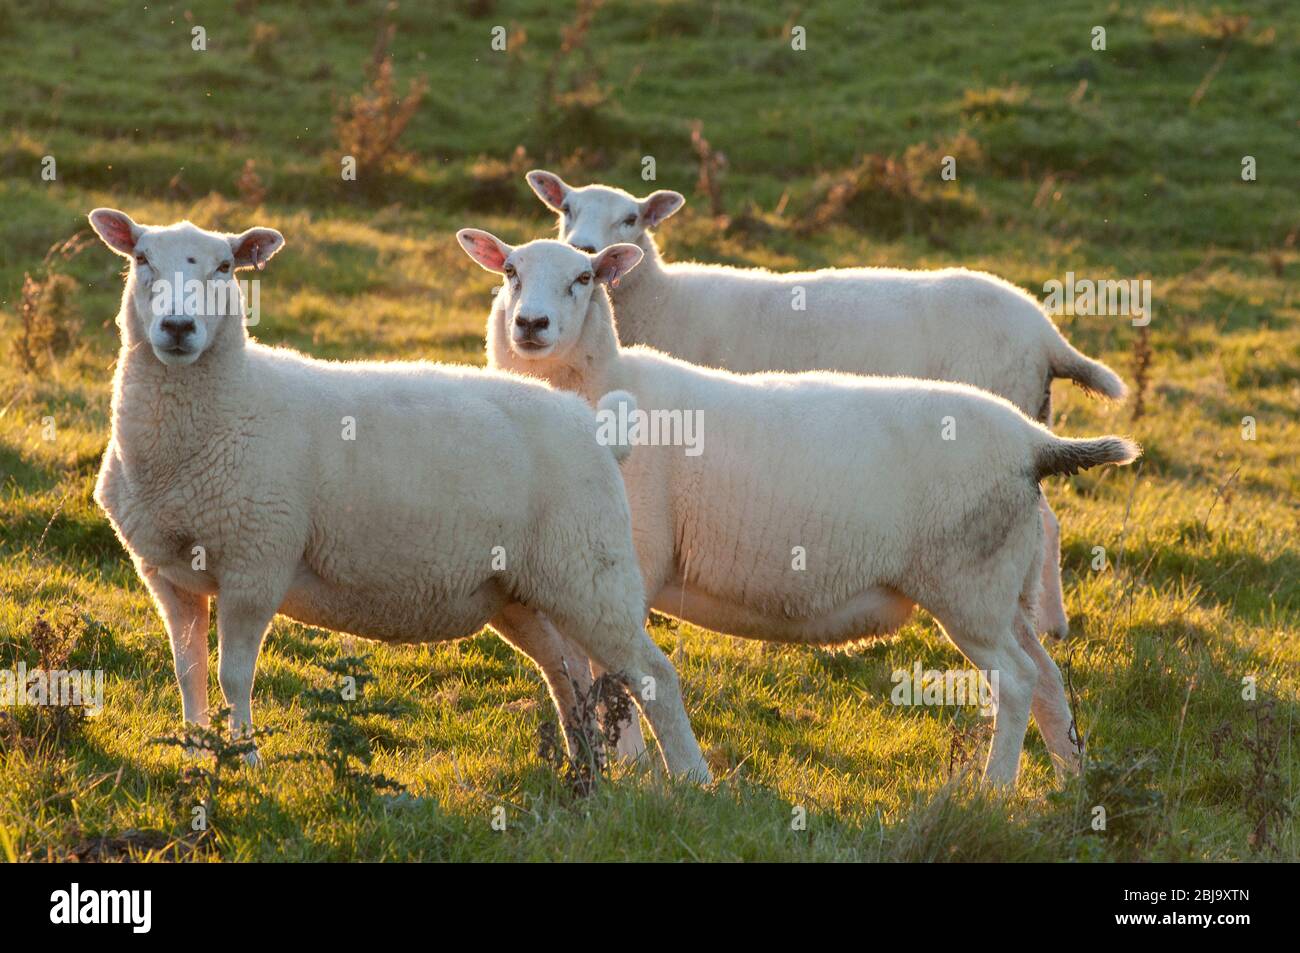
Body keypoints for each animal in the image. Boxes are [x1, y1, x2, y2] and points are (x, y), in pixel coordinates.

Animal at [86, 208, 710, 781]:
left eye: (224, 267)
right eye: (141, 259)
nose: (178, 328)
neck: (222, 411)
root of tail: (597, 426)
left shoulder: (256, 561)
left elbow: (232, 675)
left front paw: (244, 760)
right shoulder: (166, 574)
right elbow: (187, 671)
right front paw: (195, 756)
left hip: (590, 566)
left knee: (653, 673)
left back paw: (692, 780)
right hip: (527, 590)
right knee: (569, 674)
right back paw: (586, 774)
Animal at [457, 230, 1140, 786]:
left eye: (584, 278)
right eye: (511, 271)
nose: (532, 323)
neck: (602, 386)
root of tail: (1032, 442)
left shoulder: (620, 570)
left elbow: (617, 674)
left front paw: (632, 768)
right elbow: (579, 673)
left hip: (968, 585)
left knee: (1017, 681)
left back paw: (994, 790)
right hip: (1006, 585)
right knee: (1047, 677)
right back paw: (1072, 777)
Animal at [525, 170, 1130, 640]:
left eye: (632, 219)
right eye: (566, 210)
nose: (584, 248)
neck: (661, 298)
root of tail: (1046, 331)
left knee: (1044, 525)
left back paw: (1051, 622)